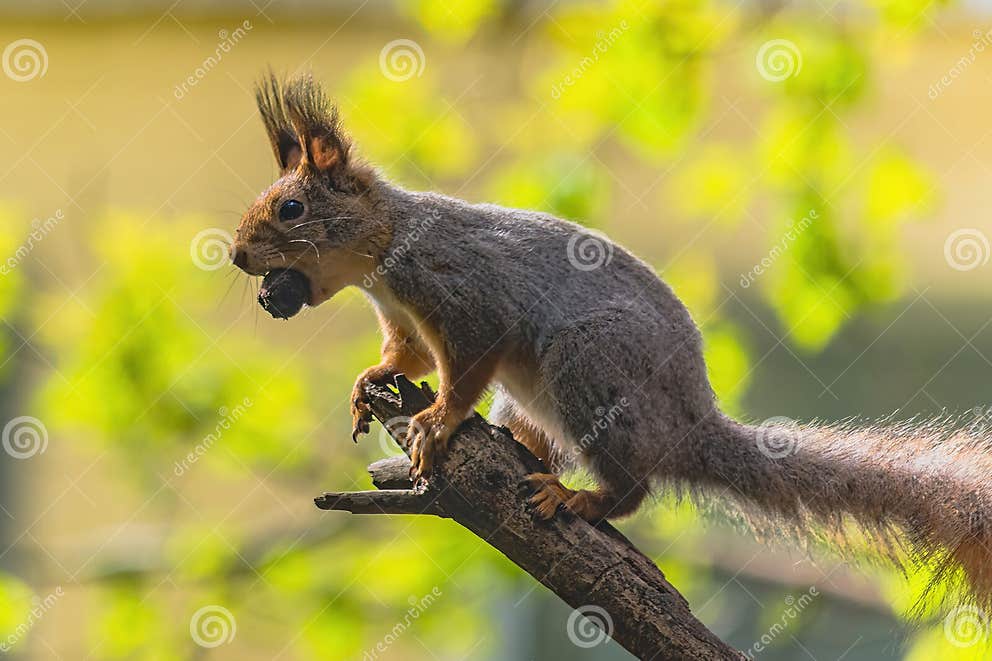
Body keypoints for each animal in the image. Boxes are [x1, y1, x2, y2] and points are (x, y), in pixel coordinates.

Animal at [230, 72, 992, 611]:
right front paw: (370, 382)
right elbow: (406, 358)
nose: (236, 256)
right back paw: (531, 453)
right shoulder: (405, 320)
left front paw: (437, 420)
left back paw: (581, 499)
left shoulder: (465, 296)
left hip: (588, 366)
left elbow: (465, 367)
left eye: (291, 208)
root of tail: (689, 426)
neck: (385, 250)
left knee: (634, 485)